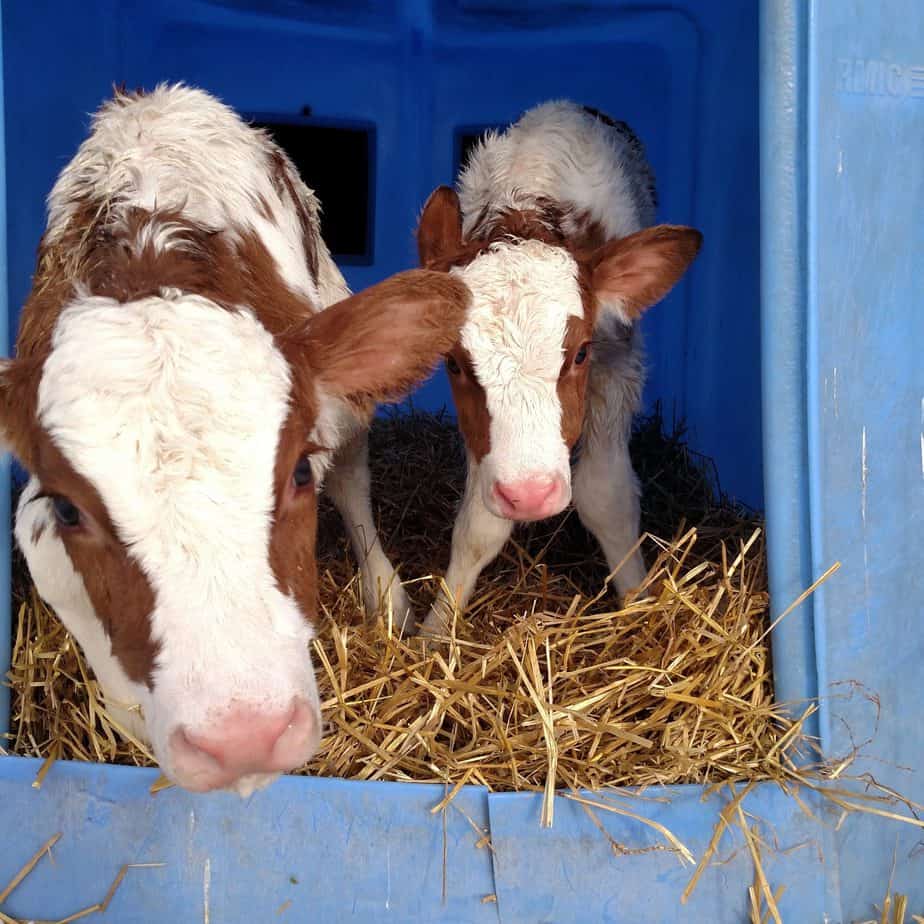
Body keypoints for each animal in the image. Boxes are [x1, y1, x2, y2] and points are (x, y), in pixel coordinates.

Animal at [1, 84, 468, 794]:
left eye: (297, 473)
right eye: (67, 508)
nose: (243, 737)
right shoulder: (36, 529)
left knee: (354, 482)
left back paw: (386, 600)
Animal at [415, 100, 702, 635]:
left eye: (580, 353)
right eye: (454, 364)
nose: (530, 494)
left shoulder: (618, 362)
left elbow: (606, 495)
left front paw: (638, 602)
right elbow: (479, 523)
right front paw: (434, 631)